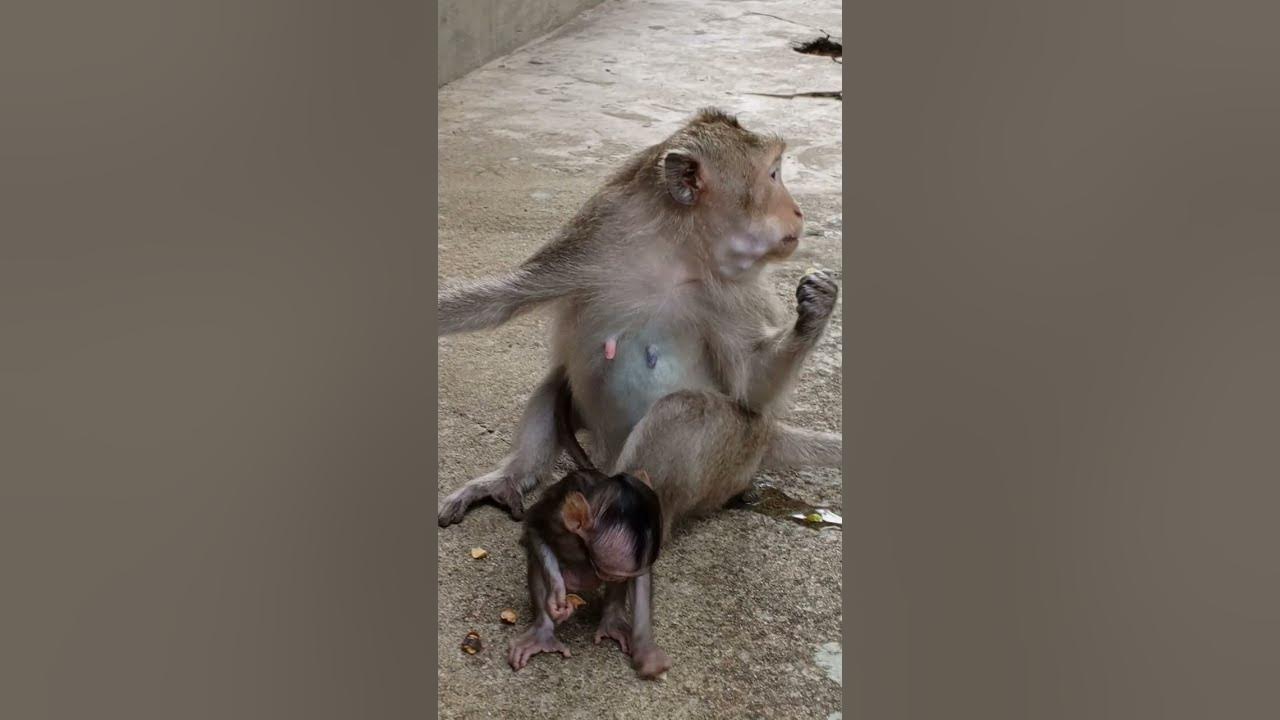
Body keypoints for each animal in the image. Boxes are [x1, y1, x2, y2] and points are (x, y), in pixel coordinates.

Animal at [437, 107, 841, 529]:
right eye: (774, 174)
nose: (798, 211)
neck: (674, 249)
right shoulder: (598, 232)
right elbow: (504, 298)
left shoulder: (733, 291)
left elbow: (750, 382)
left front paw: (816, 308)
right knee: (556, 383)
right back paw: (511, 478)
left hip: (738, 453)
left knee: (685, 413)